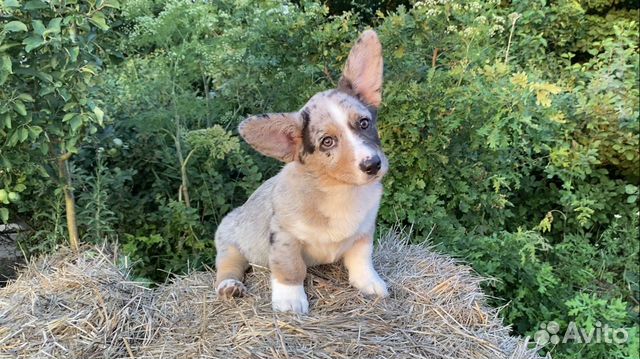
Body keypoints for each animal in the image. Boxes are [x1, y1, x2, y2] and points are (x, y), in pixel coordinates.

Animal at [214, 29, 390, 314]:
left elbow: (362, 260)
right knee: (228, 266)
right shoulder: (284, 236)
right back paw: (230, 286)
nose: (372, 164)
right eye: (327, 142)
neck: (340, 190)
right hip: (229, 241)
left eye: (364, 123)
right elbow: (290, 268)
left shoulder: (364, 231)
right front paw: (290, 301)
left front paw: (370, 283)